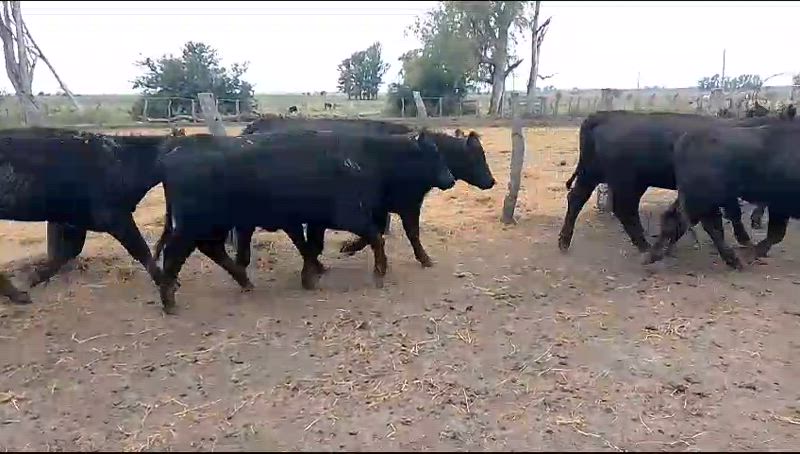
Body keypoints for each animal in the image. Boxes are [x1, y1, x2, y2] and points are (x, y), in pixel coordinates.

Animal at [0, 127, 175, 304]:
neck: (124, 161)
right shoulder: (114, 217)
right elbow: (141, 249)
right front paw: (167, 290)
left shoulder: (73, 221)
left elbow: (64, 254)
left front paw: (34, 277)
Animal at [155, 130, 455, 313]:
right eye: (433, 154)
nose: (450, 178)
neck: (367, 158)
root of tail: (175, 152)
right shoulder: (347, 215)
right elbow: (373, 237)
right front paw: (379, 271)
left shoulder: (313, 220)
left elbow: (312, 246)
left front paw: (311, 273)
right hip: (193, 226)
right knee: (174, 254)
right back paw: (169, 299)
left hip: (212, 226)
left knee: (211, 249)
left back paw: (243, 280)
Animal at [558, 111, 790, 255]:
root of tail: (605, 115)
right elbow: (733, 213)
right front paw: (745, 238)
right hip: (626, 179)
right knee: (624, 209)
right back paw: (644, 245)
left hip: (594, 173)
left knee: (577, 198)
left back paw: (564, 241)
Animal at [645, 121, 800, 269]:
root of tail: (686, 140)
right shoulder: (779, 205)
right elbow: (776, 234)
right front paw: (750, 255)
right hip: (702, 199)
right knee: (709, 226)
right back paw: (734, 259)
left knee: (675, 218)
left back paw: (654, 255)